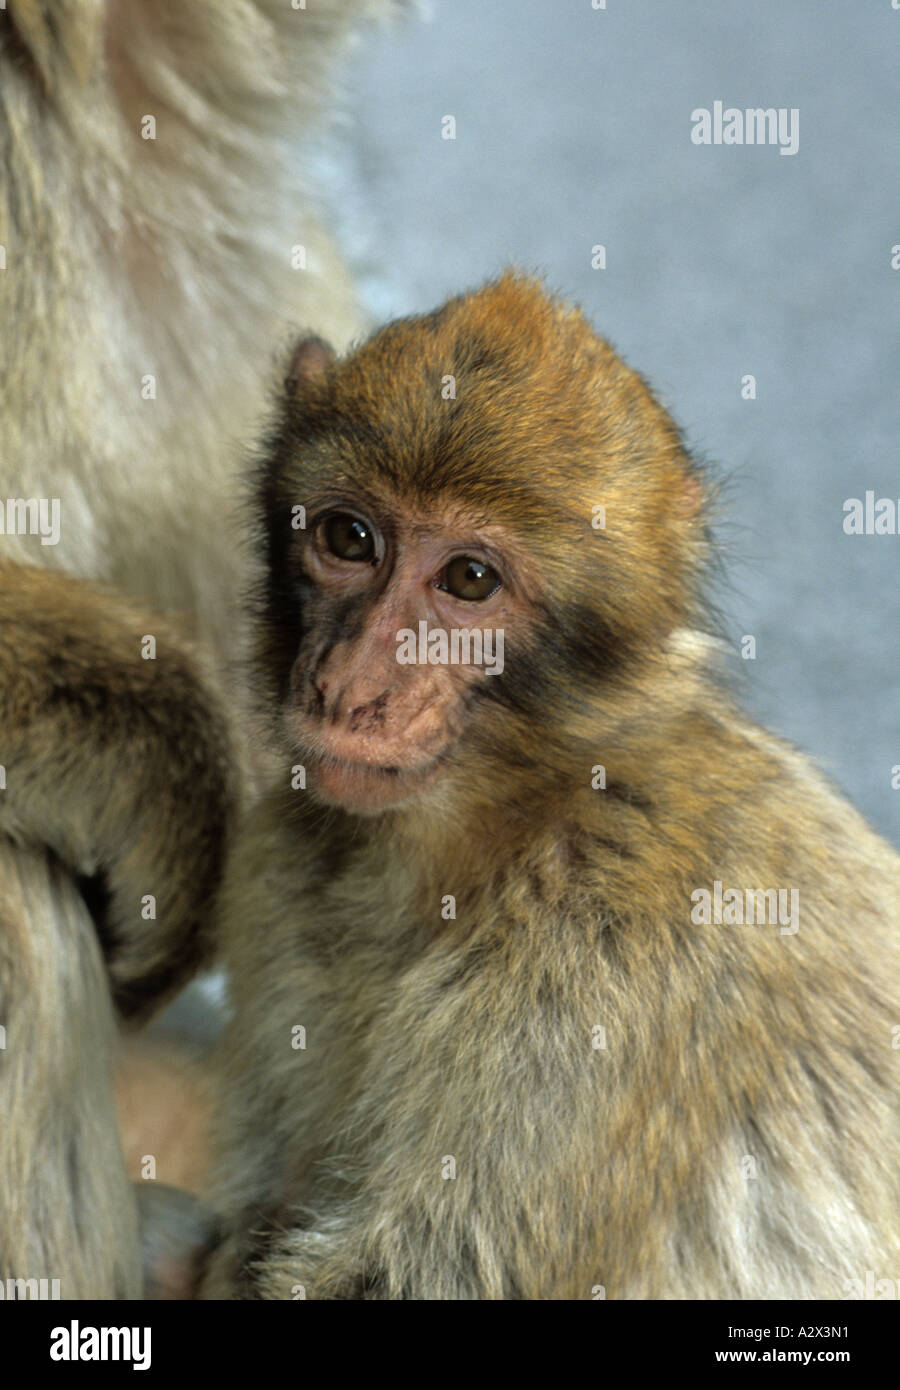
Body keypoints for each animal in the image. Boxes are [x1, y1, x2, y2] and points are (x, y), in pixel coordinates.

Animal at [200, 272, 900, 1300]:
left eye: (468, 579)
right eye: (348, 537)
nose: (348, 687)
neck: (505, 823)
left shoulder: (617, 964)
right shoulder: (281, 866)